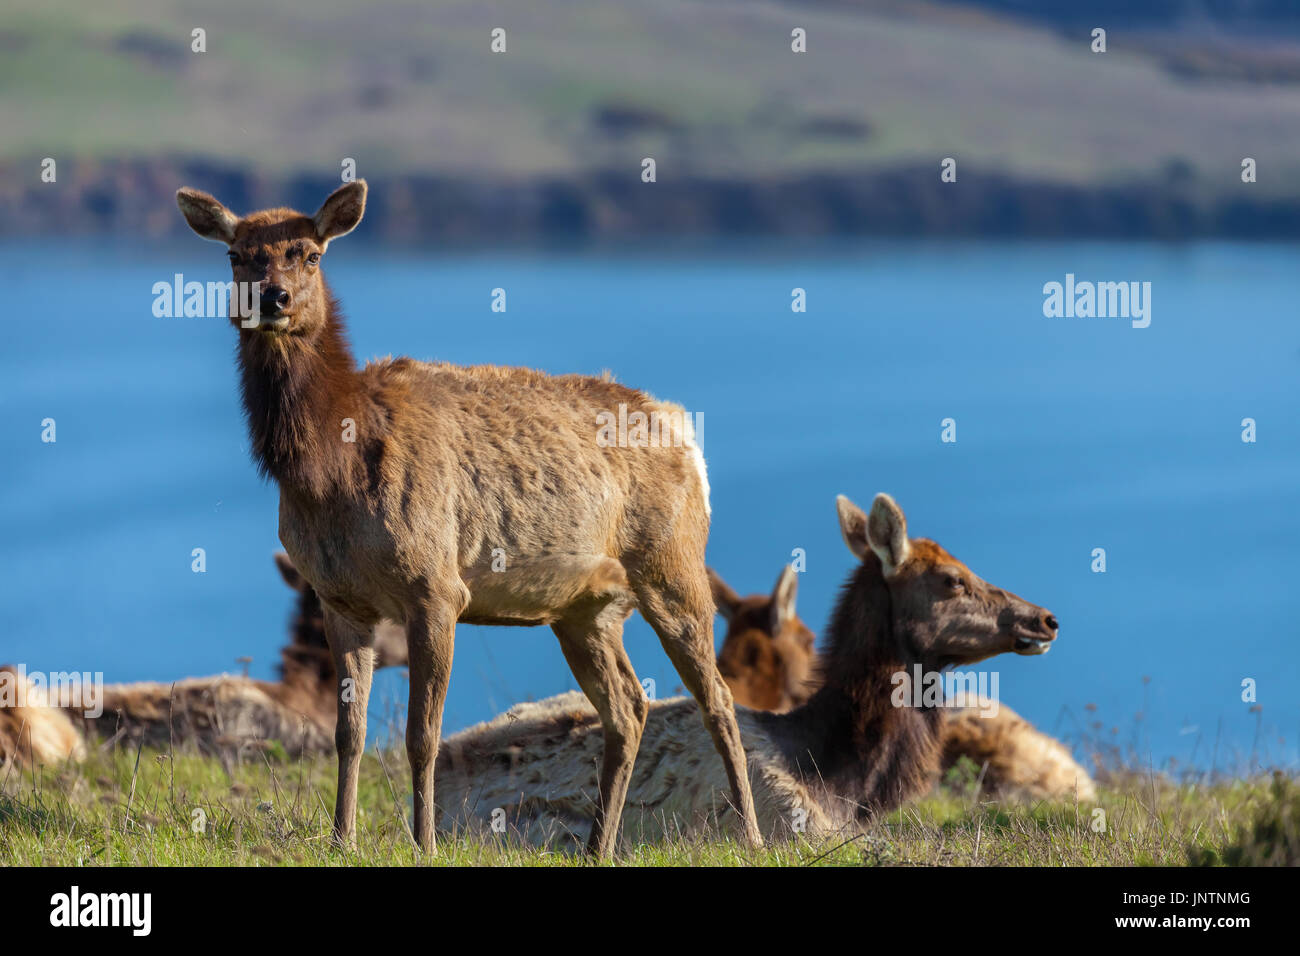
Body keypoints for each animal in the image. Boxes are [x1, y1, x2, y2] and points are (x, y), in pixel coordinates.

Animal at [175, 180, 762, 855]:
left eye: (309, 253)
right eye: (235, 256)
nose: (274, 298)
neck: (332, 473)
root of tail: (685, 432)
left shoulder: (435, 586)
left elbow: (420, 736)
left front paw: (424, 843)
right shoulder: (337, 597)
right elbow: (348, 733)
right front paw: (341, 839)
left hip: (673, 563)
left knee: (716, 696)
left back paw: (750, 836)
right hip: (586, 609)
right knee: (629, 707)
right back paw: (597, 846)